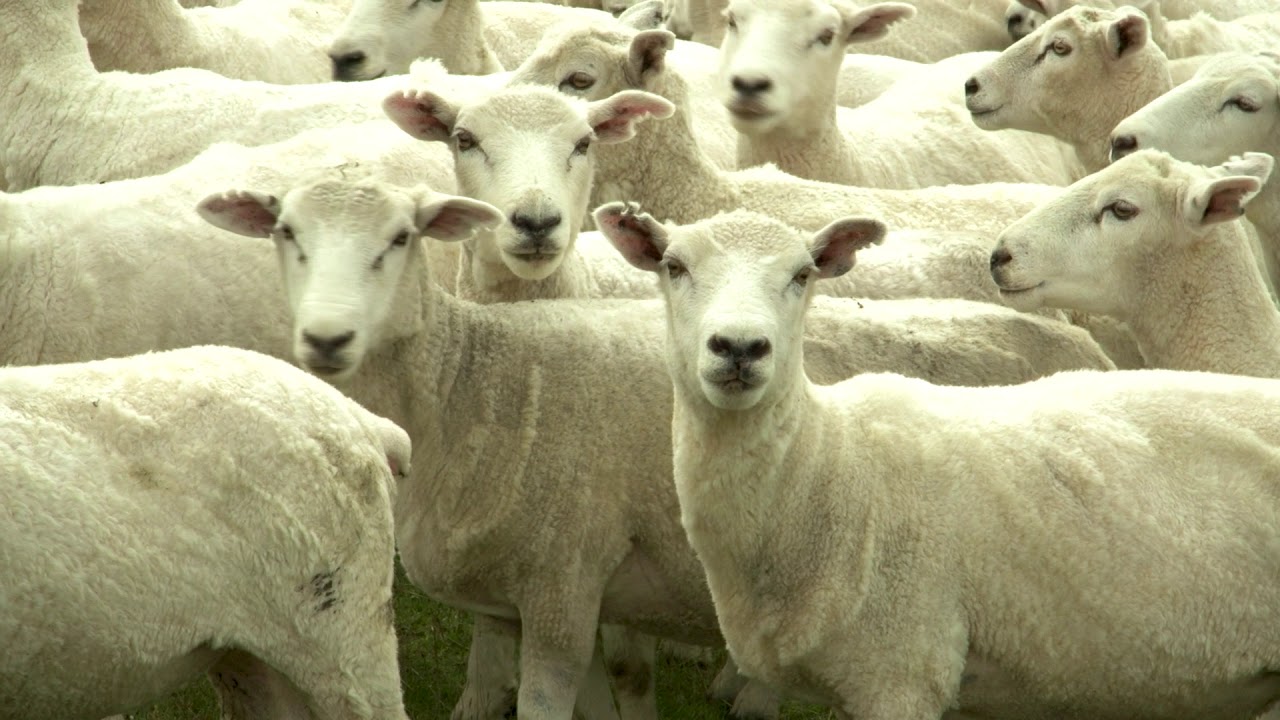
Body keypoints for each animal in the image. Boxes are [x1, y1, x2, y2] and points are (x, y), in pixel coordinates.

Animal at [201, 176, 1114, 720]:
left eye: (399, 238)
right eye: (285, 233)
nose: (326, 338)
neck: (470, 383)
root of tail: (1084, 344)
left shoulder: (563, 577)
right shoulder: (541, 596)